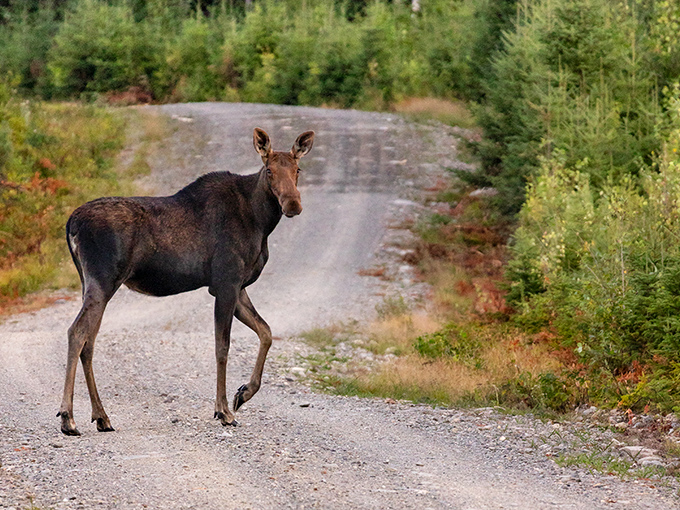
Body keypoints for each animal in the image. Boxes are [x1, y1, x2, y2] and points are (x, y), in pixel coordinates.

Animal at [57, 128, 314, 436]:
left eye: (298, 169)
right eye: (269, 170)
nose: (293, 204)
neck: (261, 223)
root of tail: (71, 223)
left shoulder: (237, 286)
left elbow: (266, 332)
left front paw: (243, 393)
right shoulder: (226, 283)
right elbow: (222, 347)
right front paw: (224, 410)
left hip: (90, 283)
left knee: (89, 342)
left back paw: (101, 417)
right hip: (103, 280)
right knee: (76, 333)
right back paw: (68, 418)